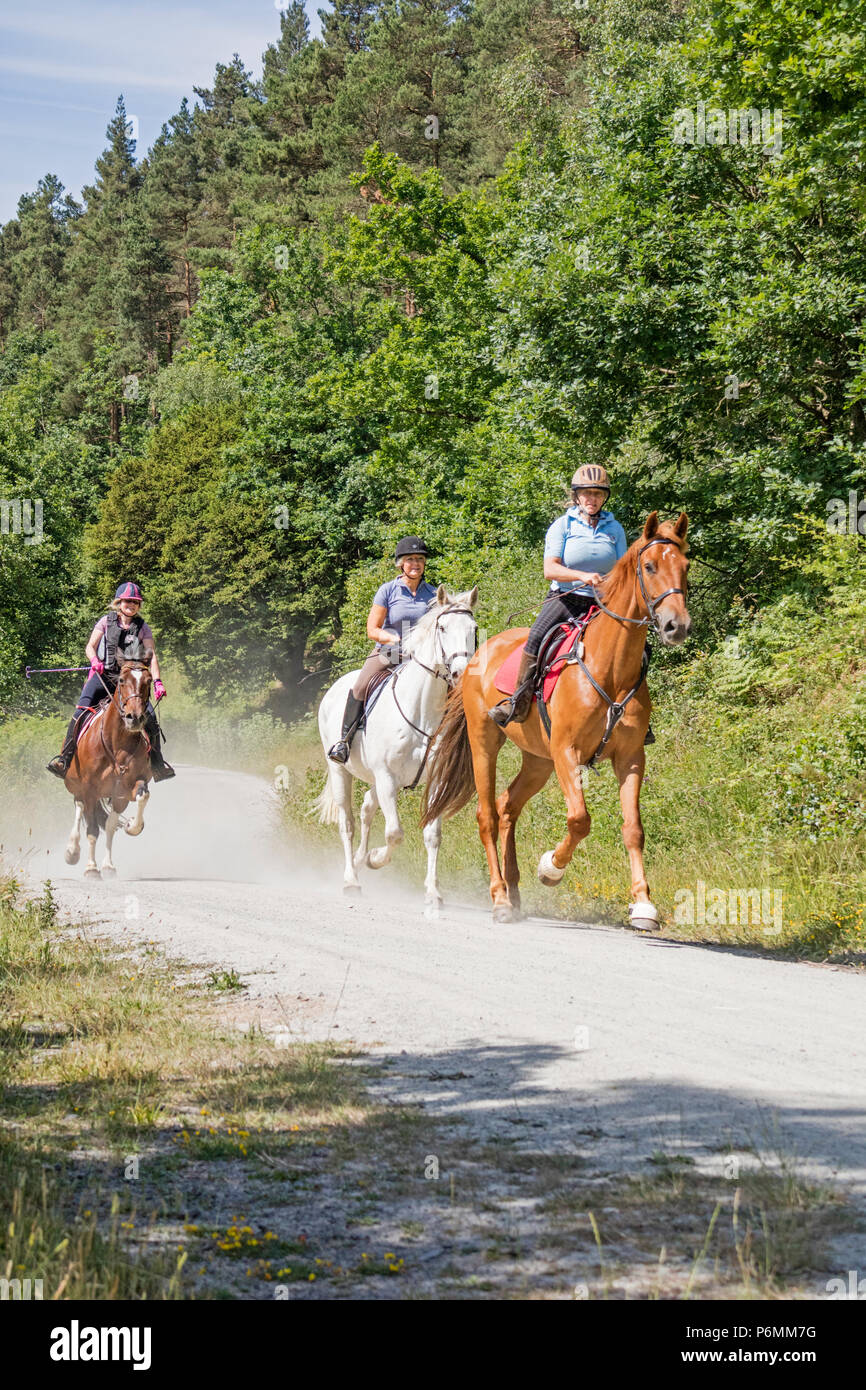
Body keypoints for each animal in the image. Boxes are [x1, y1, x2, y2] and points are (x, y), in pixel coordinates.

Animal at [63, 651, 155, 878]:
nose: (134, 718)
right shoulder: (89, 788)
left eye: (149, 681)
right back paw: (72, 851)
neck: (117, 742)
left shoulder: (125, 789)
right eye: (121, 680)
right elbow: (92, 830)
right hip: (77, 785)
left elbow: (116, 821)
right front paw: (91, 868)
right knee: (79, 808)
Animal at [316, 585, 478, 914]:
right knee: (347, 823)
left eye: (474, 629)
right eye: (443, 628)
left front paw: (433, 893)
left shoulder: (436, 781)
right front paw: (375, 859)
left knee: (366, 808)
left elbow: (432, 835)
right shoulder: (388, 778)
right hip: (341, 770)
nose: (460, 673)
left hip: (374, 780)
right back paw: (351, 879)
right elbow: (394, 833)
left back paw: (358, 861)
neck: (422, 710)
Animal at [422, 513, 691, 928]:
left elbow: (633, 829)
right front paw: (550, 868)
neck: (610, 669)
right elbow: (580, 819)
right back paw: (500, 898)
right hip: (486, 743)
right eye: (649, 566)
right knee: (487, 814)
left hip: (538, 761)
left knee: (507, 806)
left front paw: (644, 905)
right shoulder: (568, 752)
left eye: (685, 566)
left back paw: (514, 891)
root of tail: (477, 654)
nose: (677, 626)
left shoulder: (631, 757)